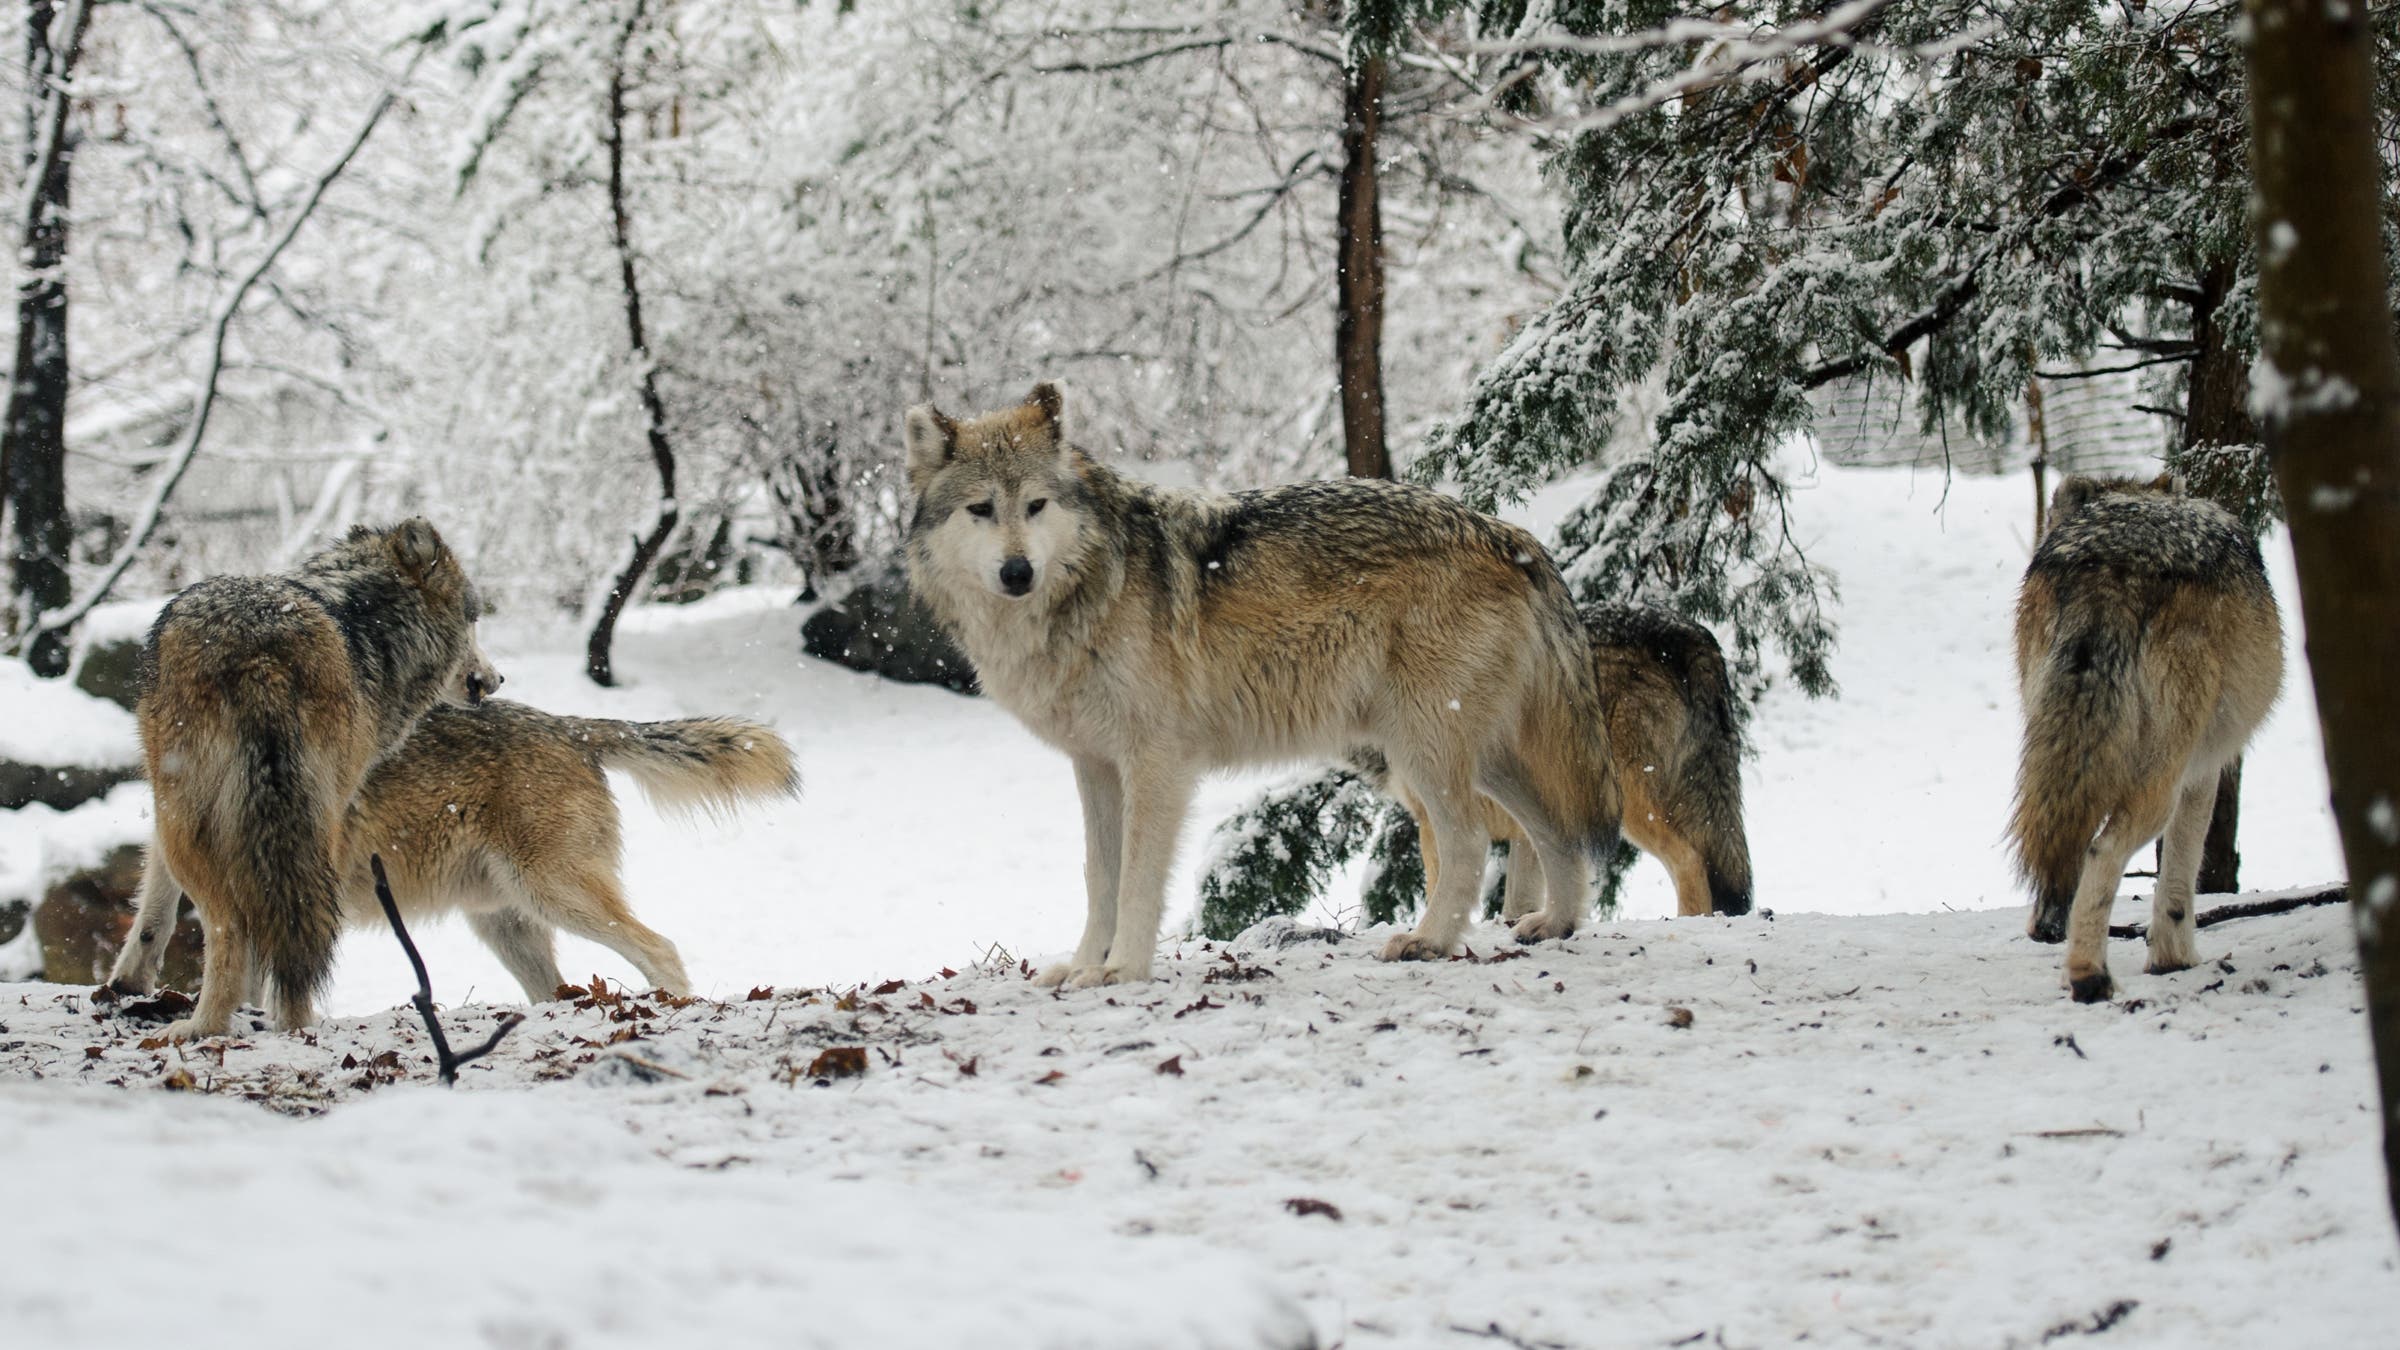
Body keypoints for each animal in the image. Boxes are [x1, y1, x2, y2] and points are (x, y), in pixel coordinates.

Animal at [110, 699, 798, 1004]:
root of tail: (572, 726)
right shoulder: (173, 849)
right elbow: (152, 920)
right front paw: (126, 985)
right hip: (508, 924)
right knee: (558, 990)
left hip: (554, 894)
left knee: (661, 948)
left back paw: (674, 1006)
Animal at [130, 520, 498, 1039]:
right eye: (473, 619)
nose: (496, 679)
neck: (366, 624)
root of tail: (261, 650)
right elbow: (155, 903)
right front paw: (126, 981)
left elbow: (158, 894)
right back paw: (281, 1021)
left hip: (208, 816)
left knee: (235, 925)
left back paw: (219, 1025)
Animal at [903, 382, 1620, 987]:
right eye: (980, 509)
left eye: (1035, 506)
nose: (1017, 571)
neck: (1089, 588)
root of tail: (1507, 532)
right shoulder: (1095, 765)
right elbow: (1099, 879)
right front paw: (1082, 968)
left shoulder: (1156, 763)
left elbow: (1136, 881)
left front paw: (1123, 970)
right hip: (1484, 755)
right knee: (1556, 833)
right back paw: (1554, 925)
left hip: (1424, 751)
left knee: (1470, 842)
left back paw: (1429, 941)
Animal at [1364, 601, 1752, 921]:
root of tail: (1688, 631)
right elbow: (1522, 898)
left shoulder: (1433, 816)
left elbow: (1439, 885)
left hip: (1631, 802)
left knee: (1691, 863)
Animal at [2008, 474, 2283, 1003]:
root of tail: (2114, 562)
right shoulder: (2203, 773)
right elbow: (2179, 872)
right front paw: (2175, 960)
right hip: (2161, 781)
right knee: (2101, 851)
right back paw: (2090, 977)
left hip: (2046, 746)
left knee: (2059, 847)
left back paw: (2052, 935)